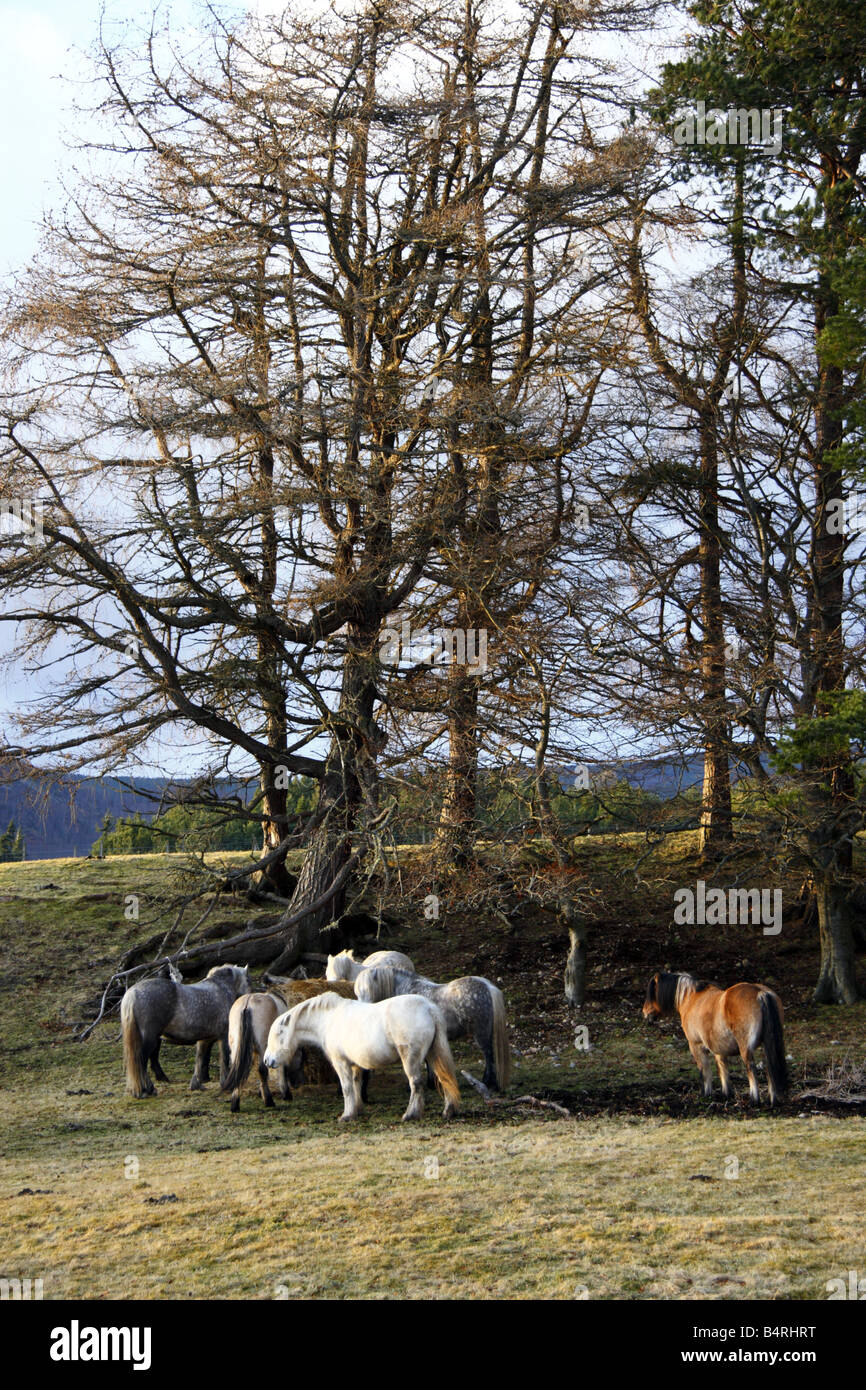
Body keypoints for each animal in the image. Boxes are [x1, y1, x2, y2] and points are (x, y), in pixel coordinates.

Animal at [121, 964, 251, 1098]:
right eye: (248, 980)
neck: (220, 988)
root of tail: (132, 993)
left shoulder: (204, 1039)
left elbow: (200, 1059)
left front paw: (196, 1084)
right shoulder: (223, 1036)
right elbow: (224, 1060)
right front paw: (224, 1083)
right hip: (150, 1039)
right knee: (141, 1061)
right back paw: (148, 1089)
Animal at [222, 979, 356, 1110]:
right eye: (301, 1060)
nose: (298, 1083)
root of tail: (248, 1004)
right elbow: (281, 1069)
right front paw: (285, 1093)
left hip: (237, 1047)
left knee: (238, 1071)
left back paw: (235, 1103)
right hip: (261, 1047)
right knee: (262, 1070)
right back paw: (268, 1101)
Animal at [263, 992, 460, 1121]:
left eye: (278, 1034)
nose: (267, 1060)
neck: (328, 1019)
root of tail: (428, 1007)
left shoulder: (341, 1063)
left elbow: (347, 1088)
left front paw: (347, 1115)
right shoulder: (354, 1064)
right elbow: (356, 1085)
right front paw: (357, 1110)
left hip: (411, 1058)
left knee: (416, 1084)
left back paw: (411, 1114)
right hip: (433, 1055)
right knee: (444, 1079)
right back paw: (448, 1111)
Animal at [354, 966, 511, 1092]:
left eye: (367, 989)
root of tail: (488, 987)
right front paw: (433, 1083)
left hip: (481, 1033)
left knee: (488, 1055)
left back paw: (487, 1082)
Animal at [642, 970, 788, 1104]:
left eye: (652, 992)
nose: (645, 1012)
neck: (692, 998)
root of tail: (760, 992)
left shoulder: (696, 1045)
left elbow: (705, 1070)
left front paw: (706, 1094)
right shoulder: (718, 1048)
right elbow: (722, 1068)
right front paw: (726, 1093)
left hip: (745, 1048)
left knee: (751, 1069)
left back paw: (754, 1099)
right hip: (766, 1045)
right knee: (769, 1068)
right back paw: (772, 1100)